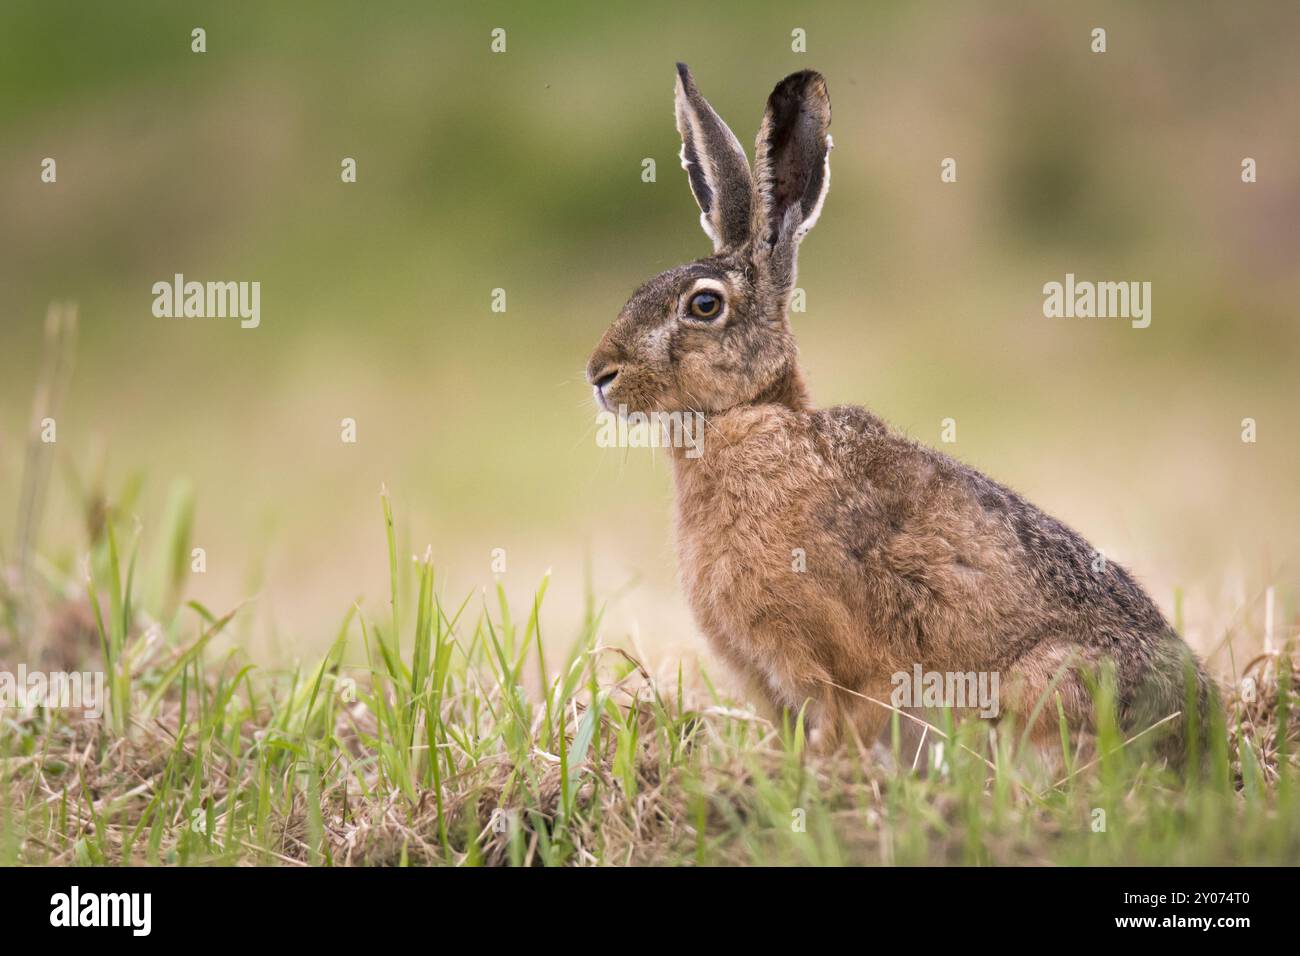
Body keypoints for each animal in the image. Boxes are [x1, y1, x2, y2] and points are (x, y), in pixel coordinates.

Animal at [586, 64, 1218, 760]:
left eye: (704, 305)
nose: (599, 374)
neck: (749, 420)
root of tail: (1199, 725)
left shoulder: (825, 661)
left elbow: (840, 719)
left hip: (1047, 680)